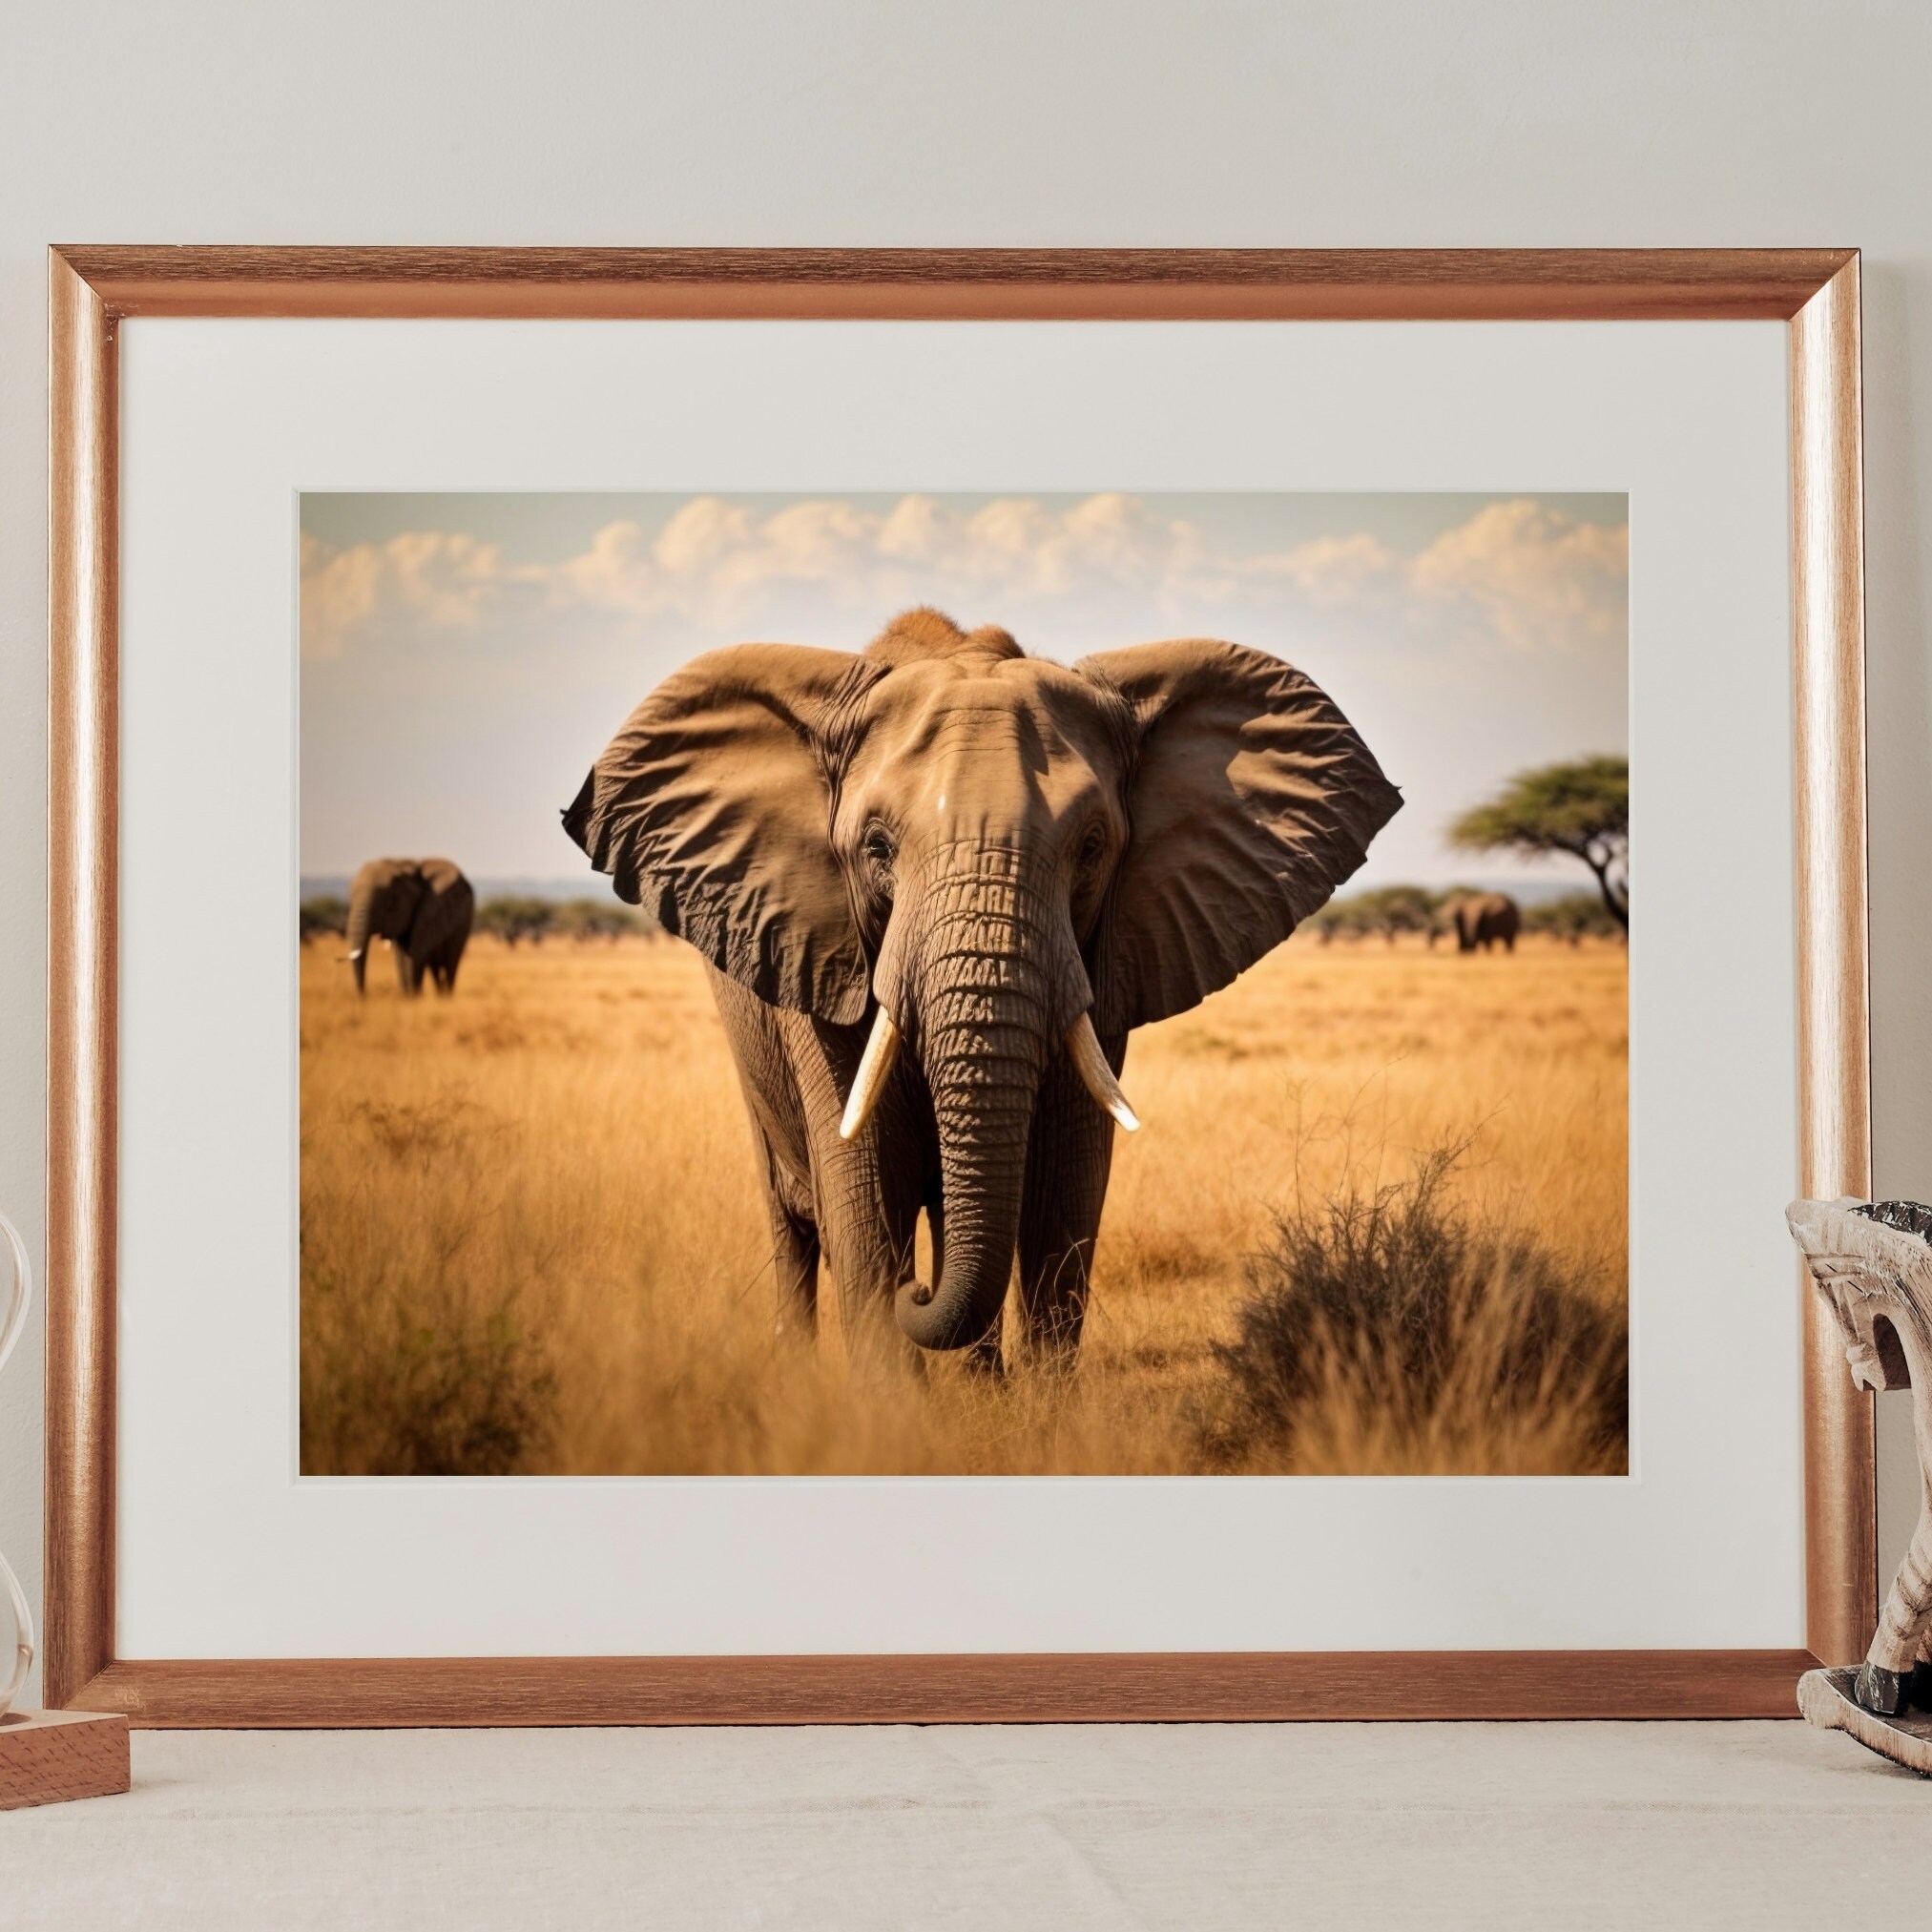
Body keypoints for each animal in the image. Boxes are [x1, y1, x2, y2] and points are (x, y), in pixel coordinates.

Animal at [345, 858, 475, 996]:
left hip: (463, 925)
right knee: (436, 968)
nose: (364, 997)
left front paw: (414, 998)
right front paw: (409, 997)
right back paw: (440, 996)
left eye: (392, 903)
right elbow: (402, 960)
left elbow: (414, 958)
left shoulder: (429, 913)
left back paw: (447, 996)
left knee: (450, 964)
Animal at [564, 607, 1401, 1372]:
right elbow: (865, 1197)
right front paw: (893, 1415)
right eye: (876, 848)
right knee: (794, 1216)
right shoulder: (820, 953)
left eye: (1091, 847)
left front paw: (1027, 1414)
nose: (920, 1297)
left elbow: (1064, 1195)